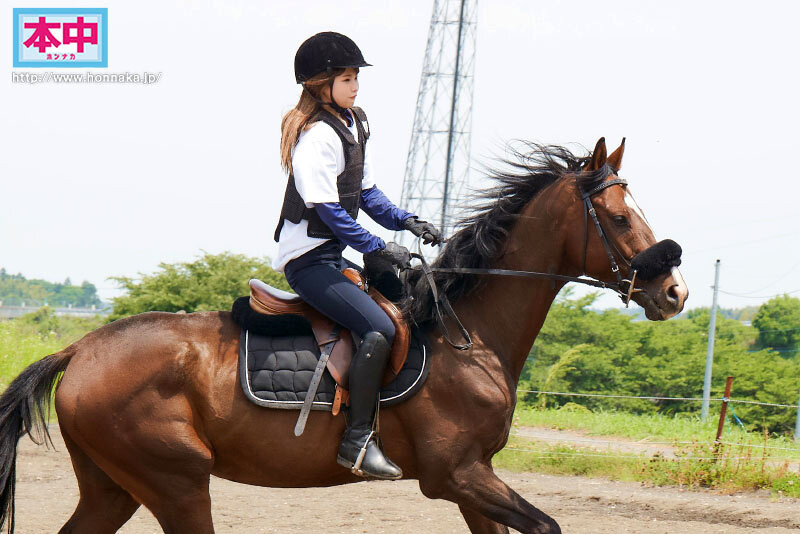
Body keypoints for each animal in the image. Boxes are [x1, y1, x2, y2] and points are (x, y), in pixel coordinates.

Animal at [0, 139, 688, 534]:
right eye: (619, 217)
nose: (674, 292)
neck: (466, 339)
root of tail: (81, 349)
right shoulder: (458, 475)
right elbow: (547, 526)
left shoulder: (475, 480)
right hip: (177, 485)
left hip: (114, 488)